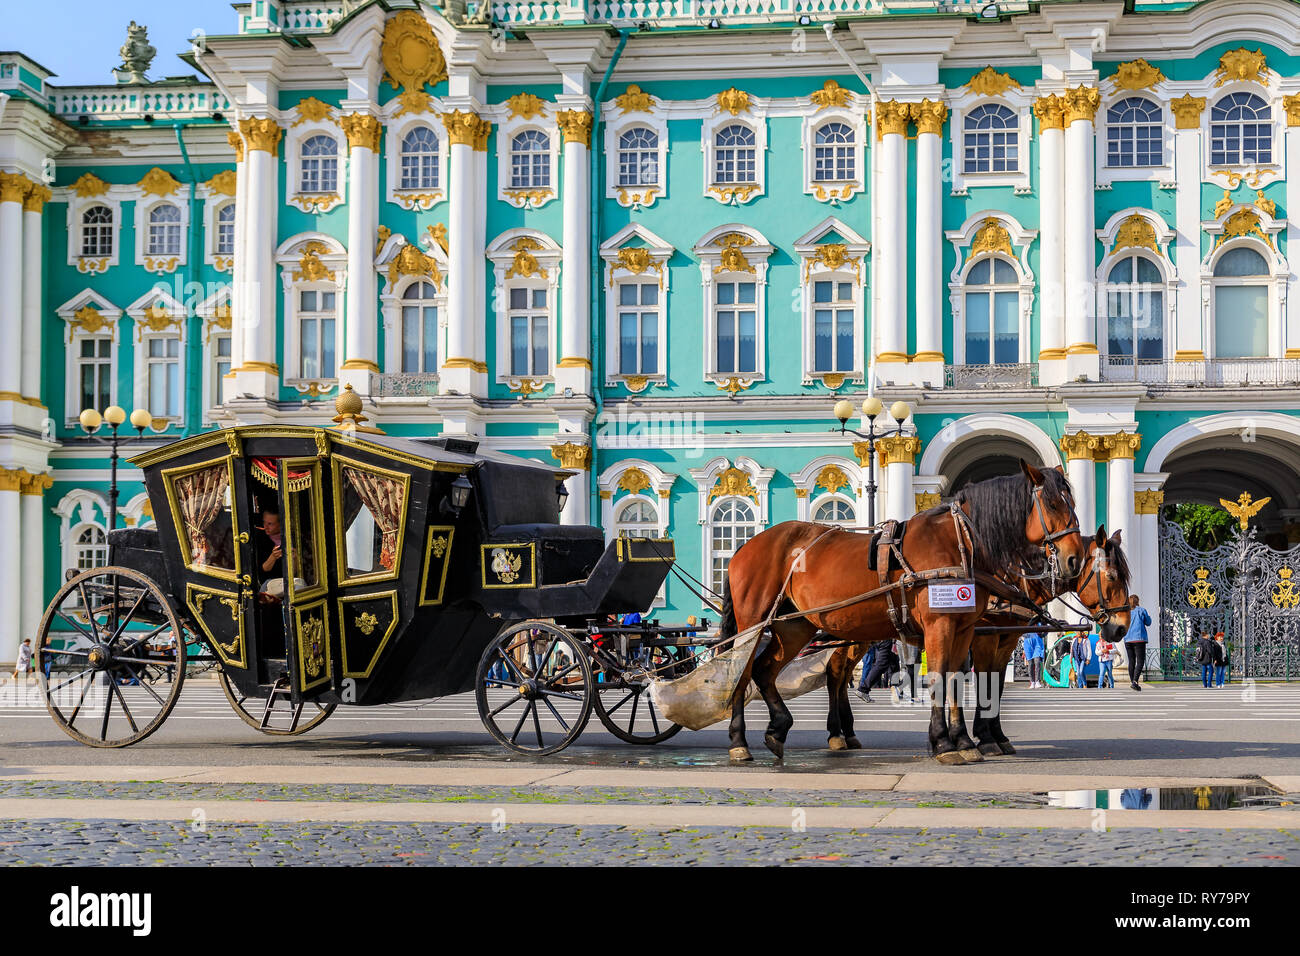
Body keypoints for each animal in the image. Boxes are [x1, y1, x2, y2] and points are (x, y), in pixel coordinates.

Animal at [717, 461, 1085, 764]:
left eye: (1073, 503)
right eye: (1053, 504)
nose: (1074, 559)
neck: (958, 543)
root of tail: (744, 545)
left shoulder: (965, 628)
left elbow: (956, 679)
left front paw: (964, 741)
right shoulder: (942, 626)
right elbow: (940, 678)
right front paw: (945, 743)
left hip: (795, 627)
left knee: (767, 670)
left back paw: (780, 729)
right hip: (753, 625)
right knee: (742, 672)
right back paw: (739, 742)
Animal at [820, 525, 1132, 754]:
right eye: (1112, 576)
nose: (1121, 629)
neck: (1007, 581)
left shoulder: (1005, 639)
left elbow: (996, 685)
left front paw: (996, 736)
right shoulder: (984, 638)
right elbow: (984, 683)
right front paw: (986, 739)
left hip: (854, 637)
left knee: (841, 676)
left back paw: (847, 732)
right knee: (835, 675)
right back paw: (836, 732)